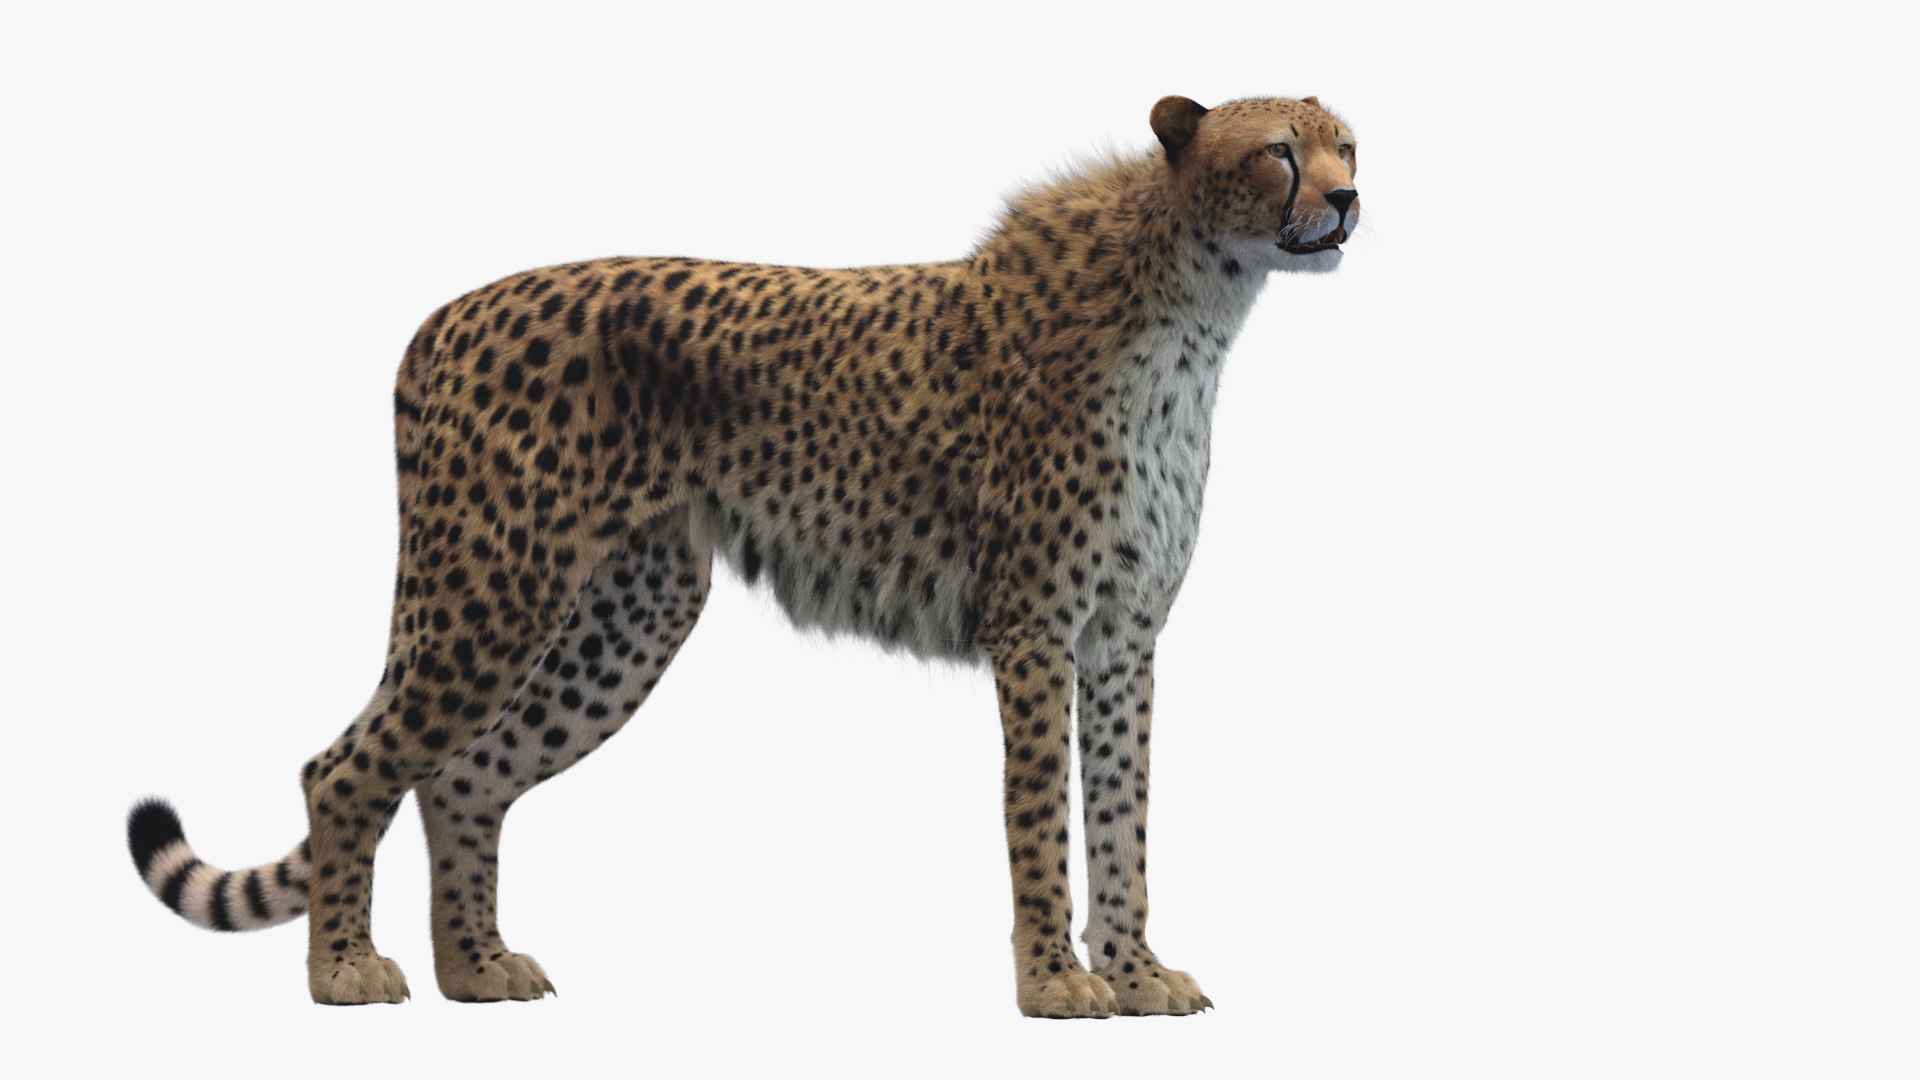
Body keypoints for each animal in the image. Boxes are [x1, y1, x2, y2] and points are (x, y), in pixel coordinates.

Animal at [125, 93, 1360, 1017]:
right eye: (1278, 152)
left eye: (1348, 141)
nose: (1348, 199)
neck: (1191, 295)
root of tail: (447, 312)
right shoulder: (1034, 630)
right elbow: (1041, 820)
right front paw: (1057, 985)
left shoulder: (1121, 640)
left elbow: (1121, 815)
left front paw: (1138, 975)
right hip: (491, 587)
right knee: (346, 768)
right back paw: (343, 970)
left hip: (629, 612)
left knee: (463, 776)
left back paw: (476, 969)